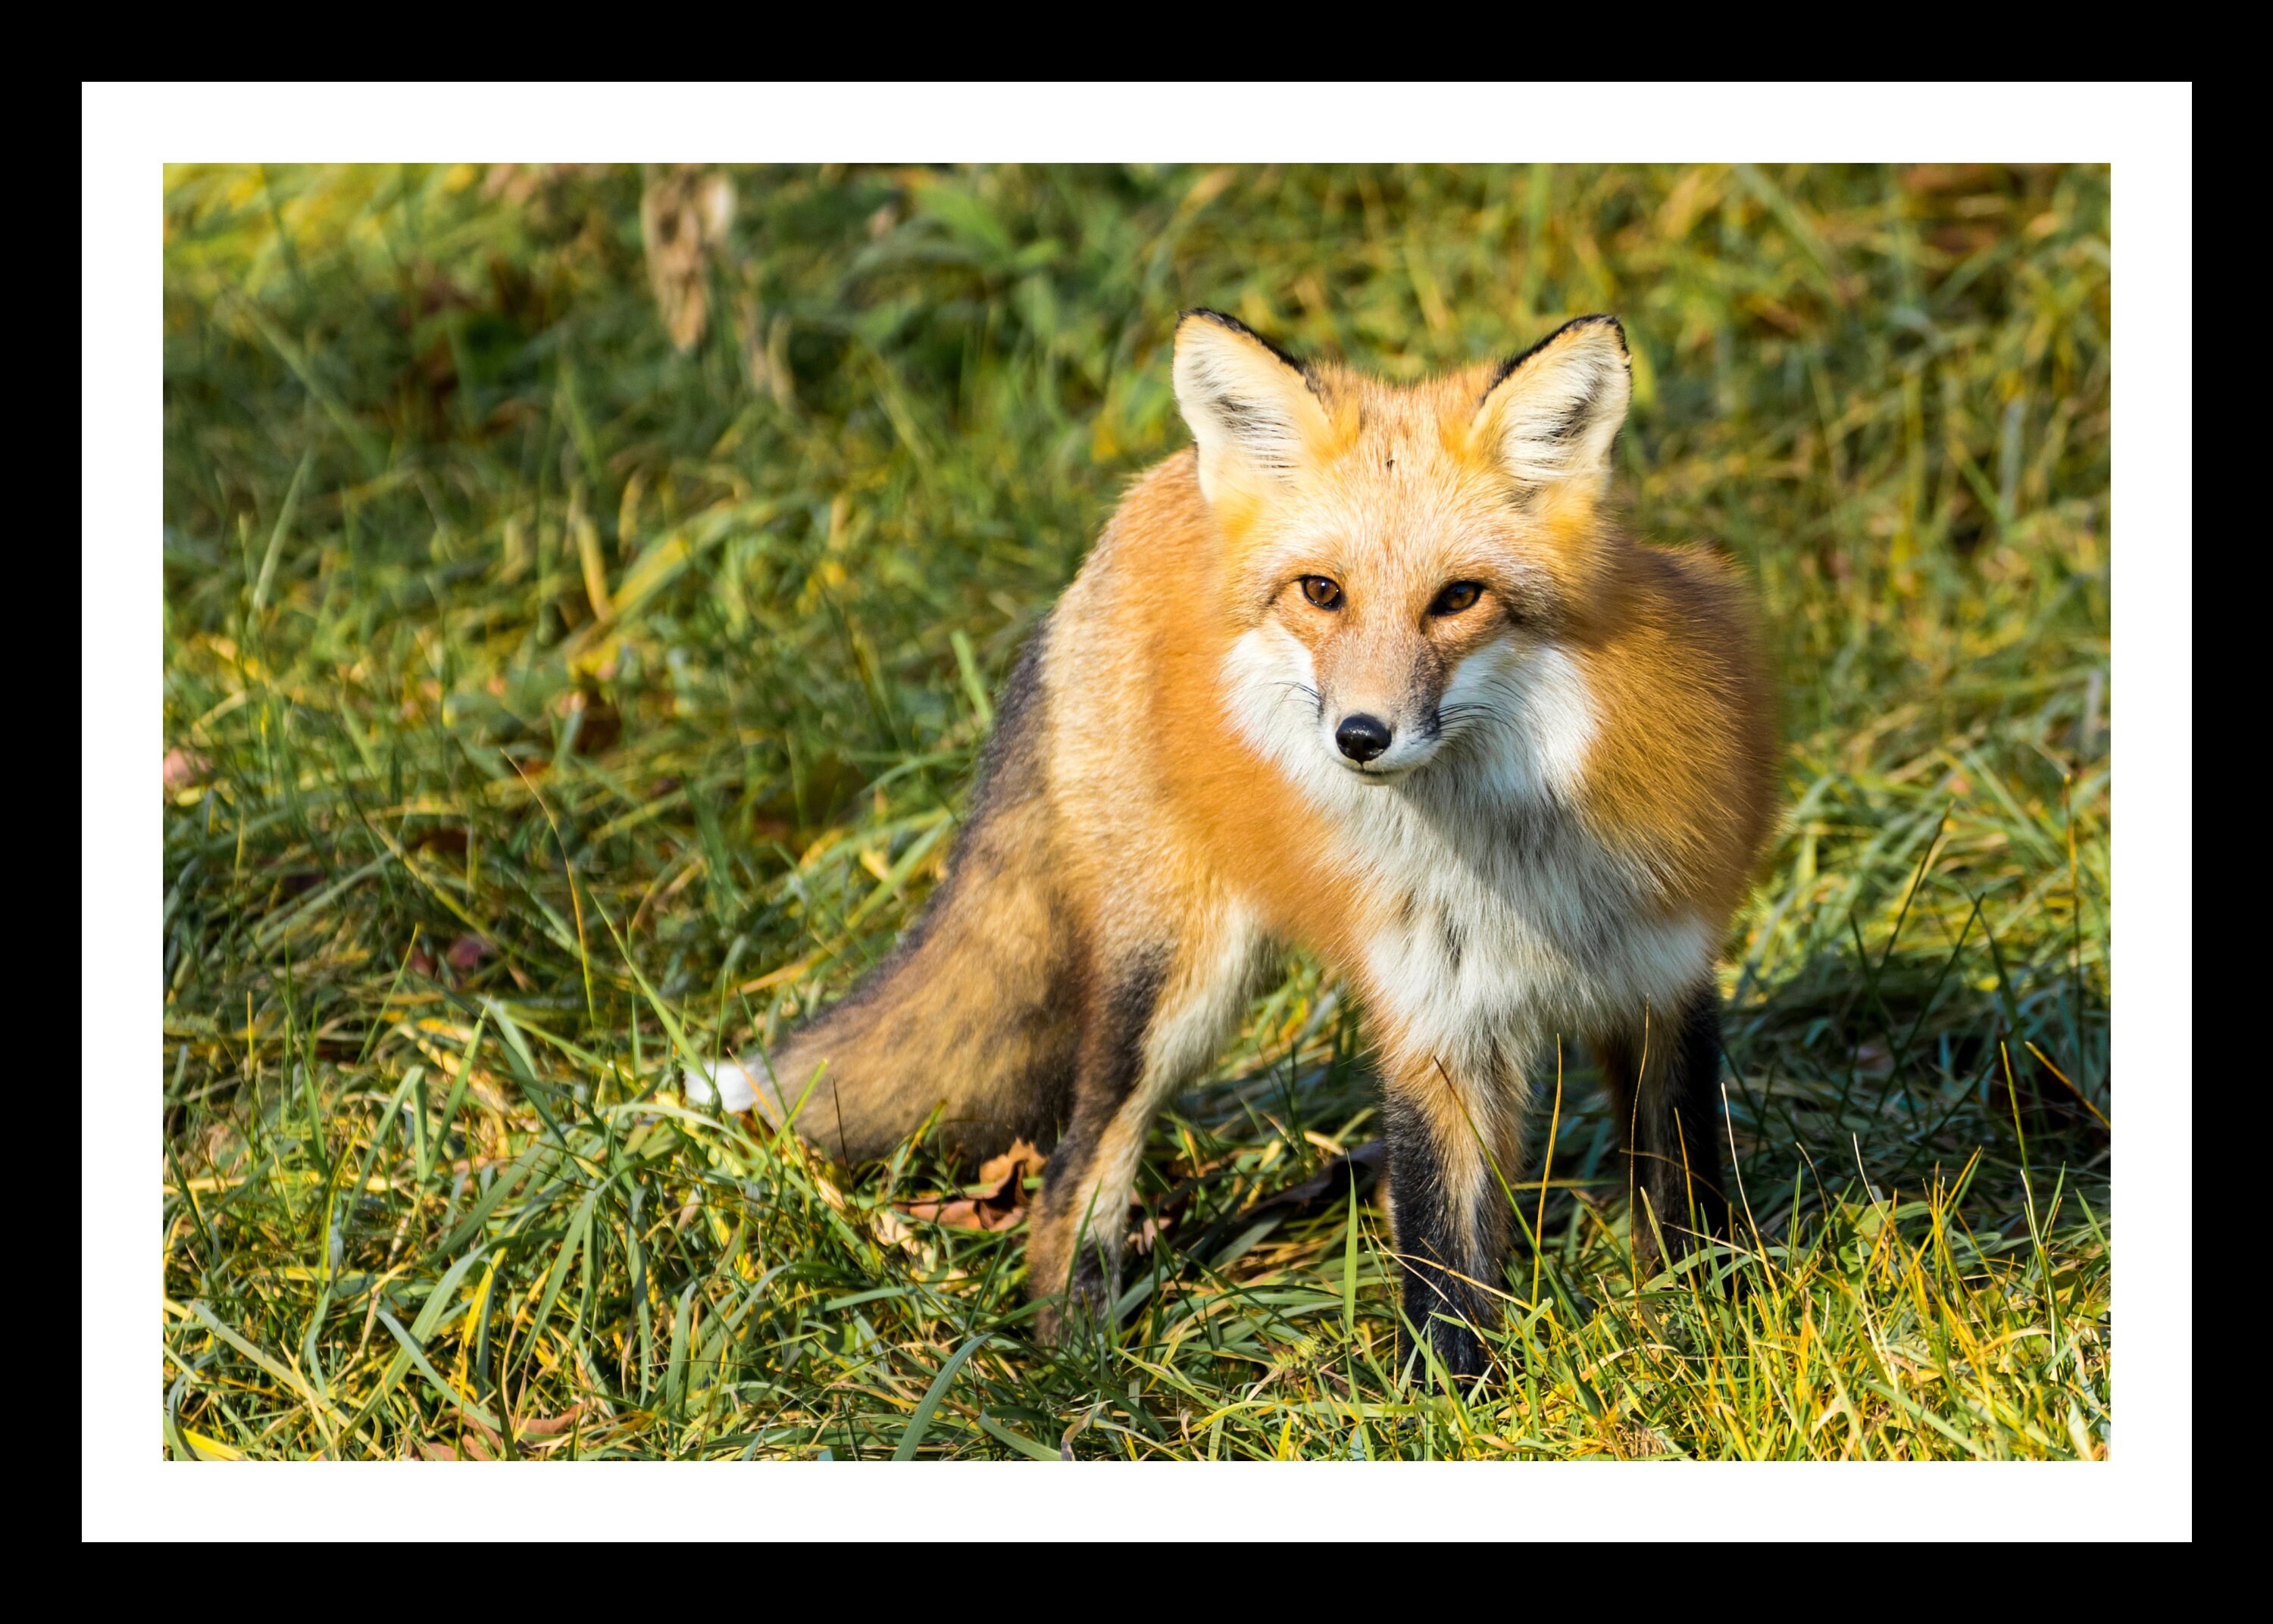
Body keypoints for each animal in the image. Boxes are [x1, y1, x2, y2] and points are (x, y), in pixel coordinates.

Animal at [709, 308, 1777, 1379]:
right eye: (1323, 591)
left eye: (1459, 598)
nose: (1361, 735)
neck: (1525, 856)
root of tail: (1147, 494)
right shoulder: (1432, 1020)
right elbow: (1444, 1264)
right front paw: (1454, 1397)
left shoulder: (1666, 977)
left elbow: (1688, 1203)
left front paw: (1704, 1334)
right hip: (1177, 985)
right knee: (1073, 1170)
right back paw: (1081, 1356)